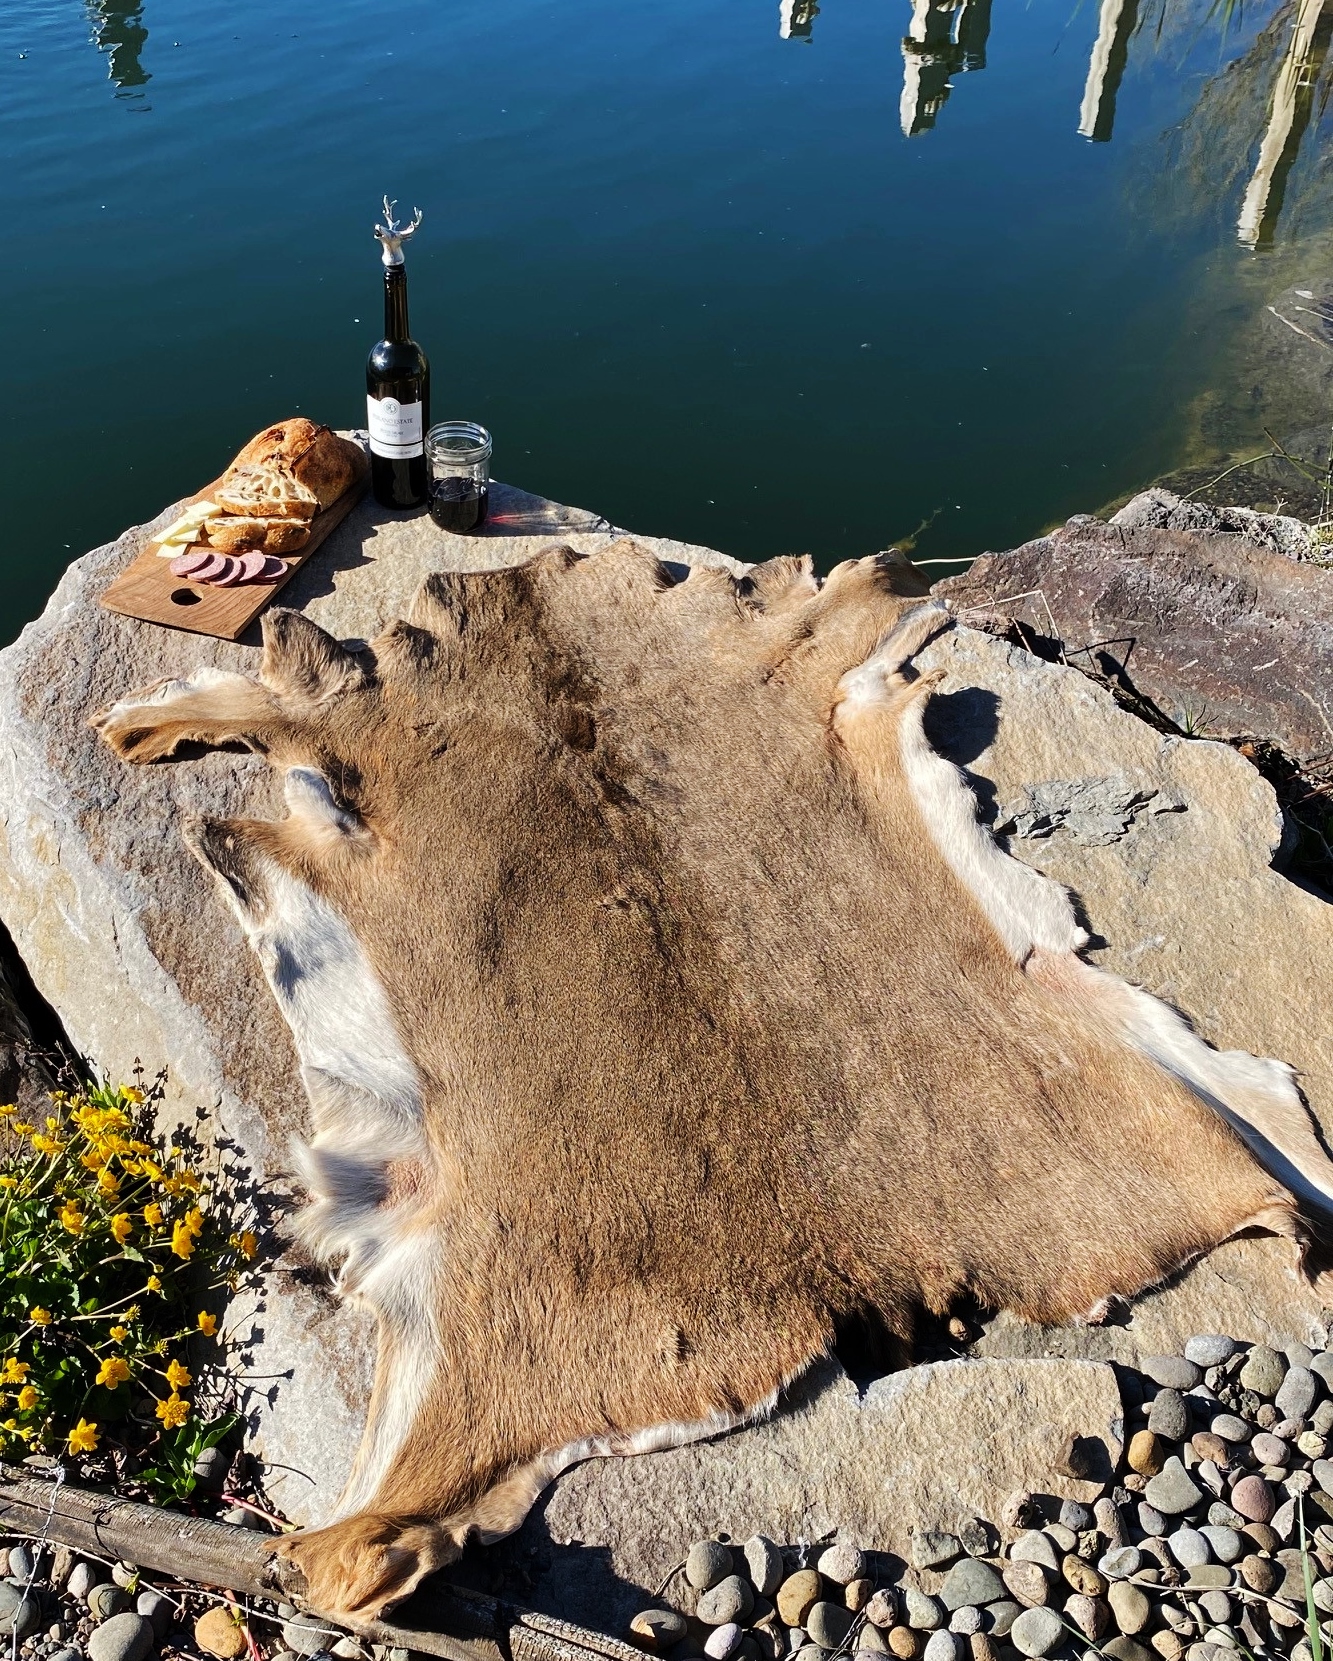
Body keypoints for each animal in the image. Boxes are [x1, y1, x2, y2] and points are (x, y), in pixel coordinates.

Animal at [91, 540, 1333, 1622]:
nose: (525, 569)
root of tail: (863, 1267)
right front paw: (148, 726)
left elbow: (277, 693)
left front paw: (151, 727)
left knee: (387, 1521)